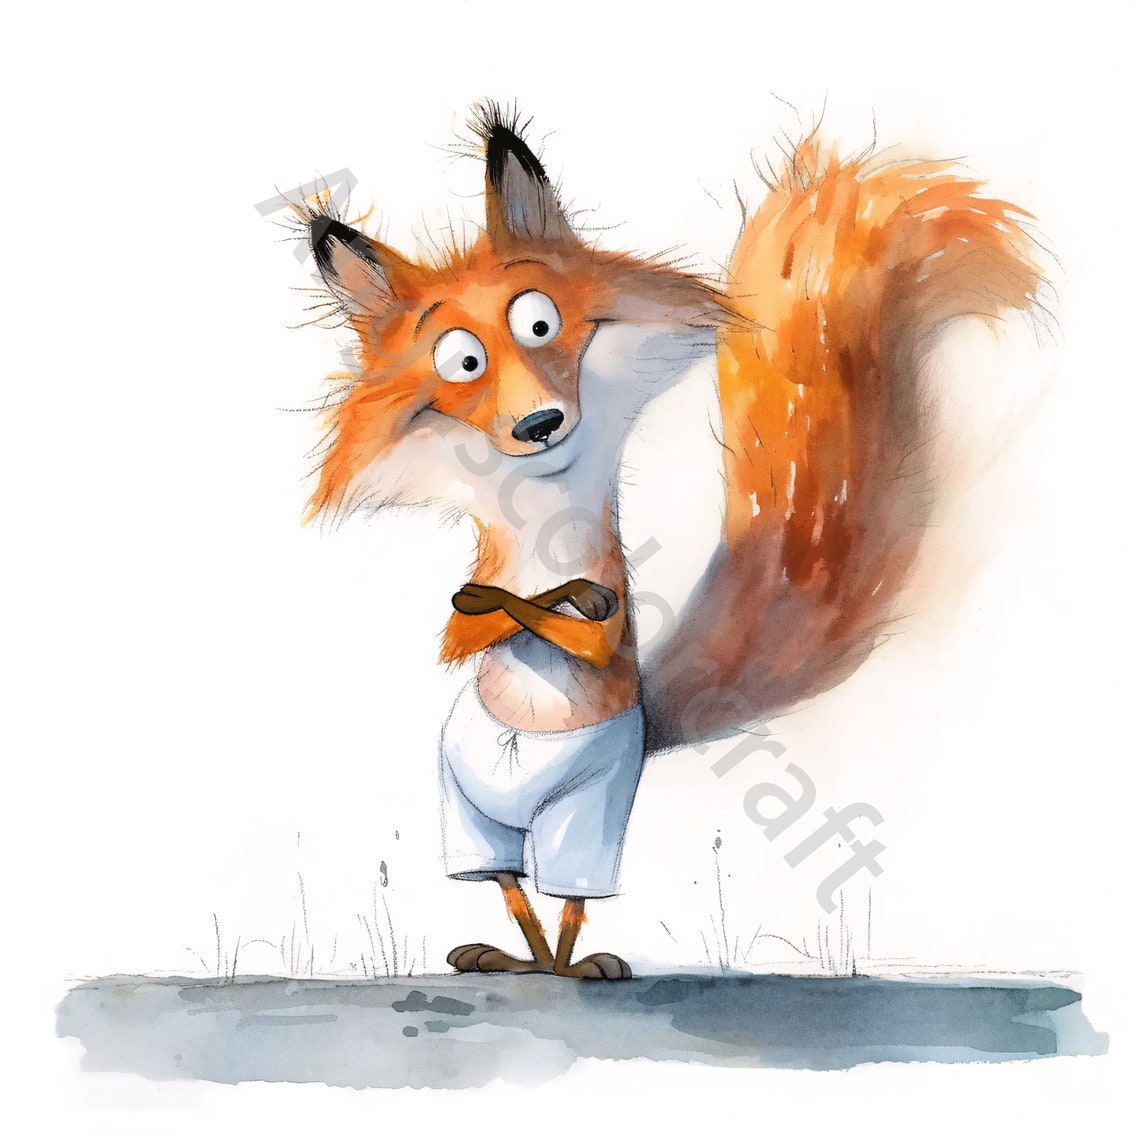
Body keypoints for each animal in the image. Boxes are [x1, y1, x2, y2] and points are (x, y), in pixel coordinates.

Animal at [286, 103, 1043, 980]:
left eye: (540, 323)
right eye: (463, 363)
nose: (538, 423)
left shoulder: (600, 678)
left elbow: (578, 628)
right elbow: (472, 632)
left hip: (586, 817)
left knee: (568, 890)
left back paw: (566, 964)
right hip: (472, 821)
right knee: (507, 881)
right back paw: (518, 960)